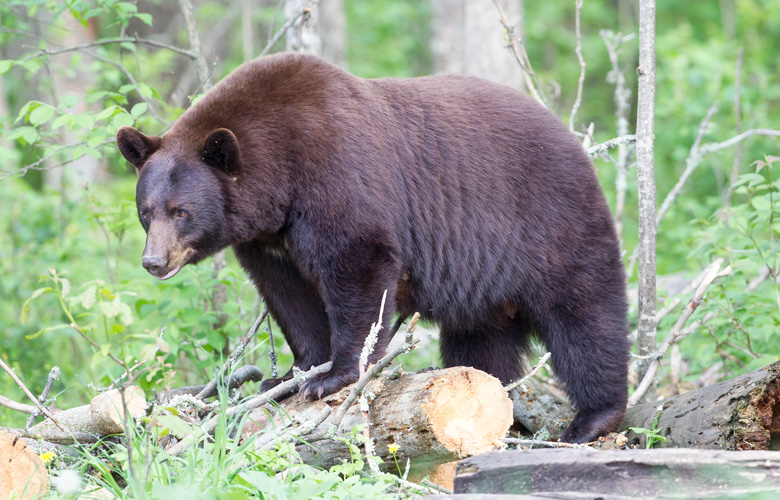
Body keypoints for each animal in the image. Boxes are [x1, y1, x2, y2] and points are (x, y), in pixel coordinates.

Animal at [116, 52, 629, 444]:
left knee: (585, 318)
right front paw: (293, 374)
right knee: (481, 343)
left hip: (551, 225)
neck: (280, 177)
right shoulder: (268, 241)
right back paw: (491, 392)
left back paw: (591, 420)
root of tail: (573, 142)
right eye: (145, 210)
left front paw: (335, 375)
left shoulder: (338, 175)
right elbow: (290, 295)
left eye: (182, 211)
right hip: (485, 287)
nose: (153, 261)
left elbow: (358, 267)